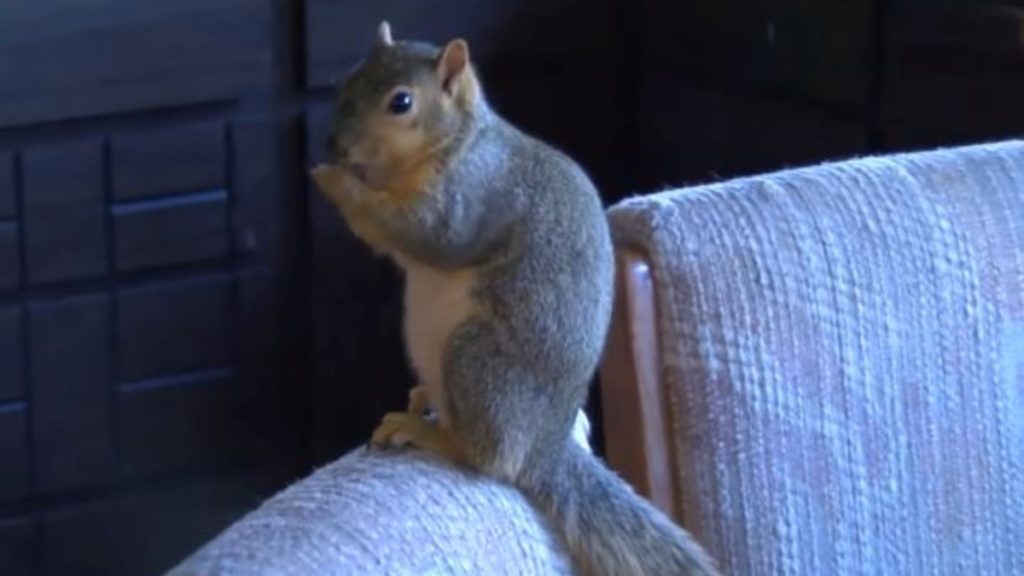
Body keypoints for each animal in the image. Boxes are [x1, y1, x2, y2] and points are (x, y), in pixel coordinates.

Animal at [311, 21, 721, 576]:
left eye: (401, 102)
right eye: (348, 79)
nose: (335, 144)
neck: (458, 142)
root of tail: (543, 448)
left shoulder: (478, 195)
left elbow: (431, 232)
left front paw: (336, 181)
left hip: (478, 361)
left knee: (488, 459)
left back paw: (431, 434)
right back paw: (424, 399)